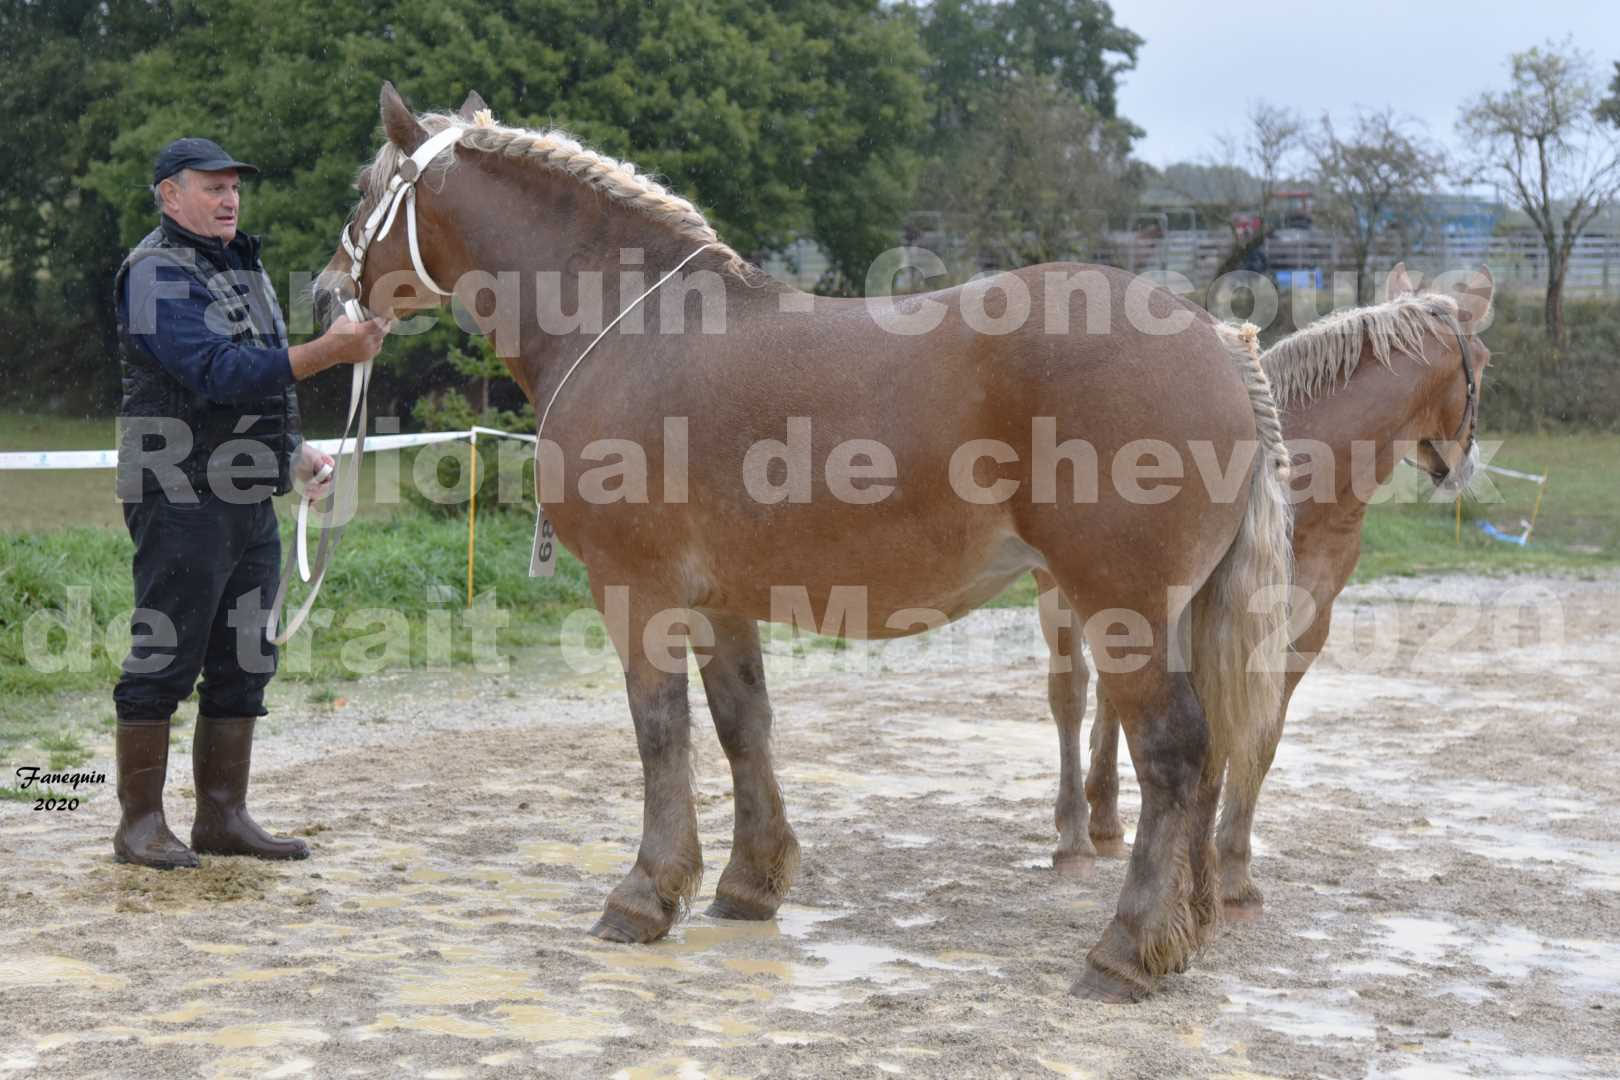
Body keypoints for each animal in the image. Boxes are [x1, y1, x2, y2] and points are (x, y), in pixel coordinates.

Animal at [313, 83, 1294, 1002]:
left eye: (365, 188)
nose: (326, 292)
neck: (627, 328)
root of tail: (1218, 338)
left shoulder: (636, 590)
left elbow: (659, 731)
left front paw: (643, 894)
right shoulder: (720, 600)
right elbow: (742, 725)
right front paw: (748, 884)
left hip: (1122, 608)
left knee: (1173, 754)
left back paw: (1125, 950)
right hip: (1181, 610)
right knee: (1206, 759)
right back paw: (1184, 931)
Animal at [1049, 262, 1497, 915]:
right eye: (1483, 361)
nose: (1463, 465)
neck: (1306, 476)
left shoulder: (1298, 634)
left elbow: (1257, 741)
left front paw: (1229, 872)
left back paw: (1106, 818)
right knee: (1071, 694)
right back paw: (1075, 833)